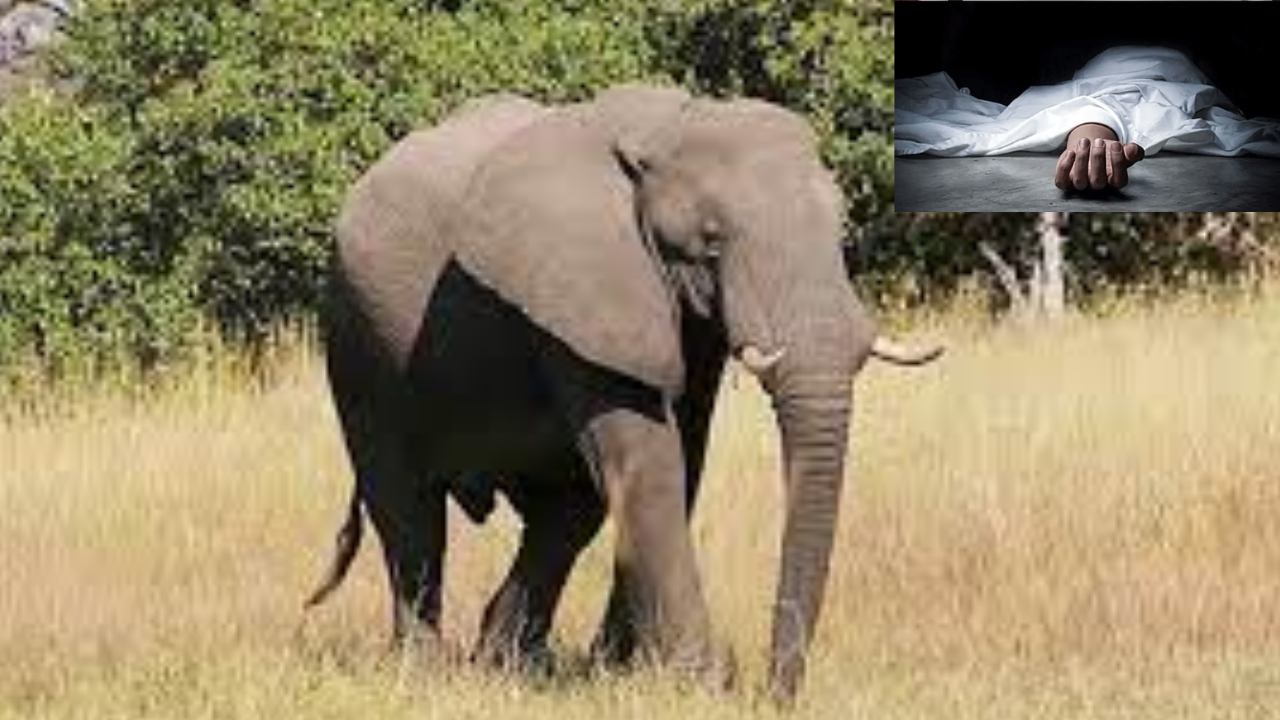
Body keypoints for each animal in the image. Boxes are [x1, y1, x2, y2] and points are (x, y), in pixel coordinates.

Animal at [304, 84, 941, 701]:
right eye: (711, 241)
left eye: (840, 228)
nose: (775, 695)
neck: (670, 127)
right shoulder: (586, 286)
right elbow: (651, 460)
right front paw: (698, 686)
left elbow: (682, 454)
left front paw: (622, 672)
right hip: (358, 337)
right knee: (407, 509)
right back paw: (425, 672)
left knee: (566, 512)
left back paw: (509, 665)